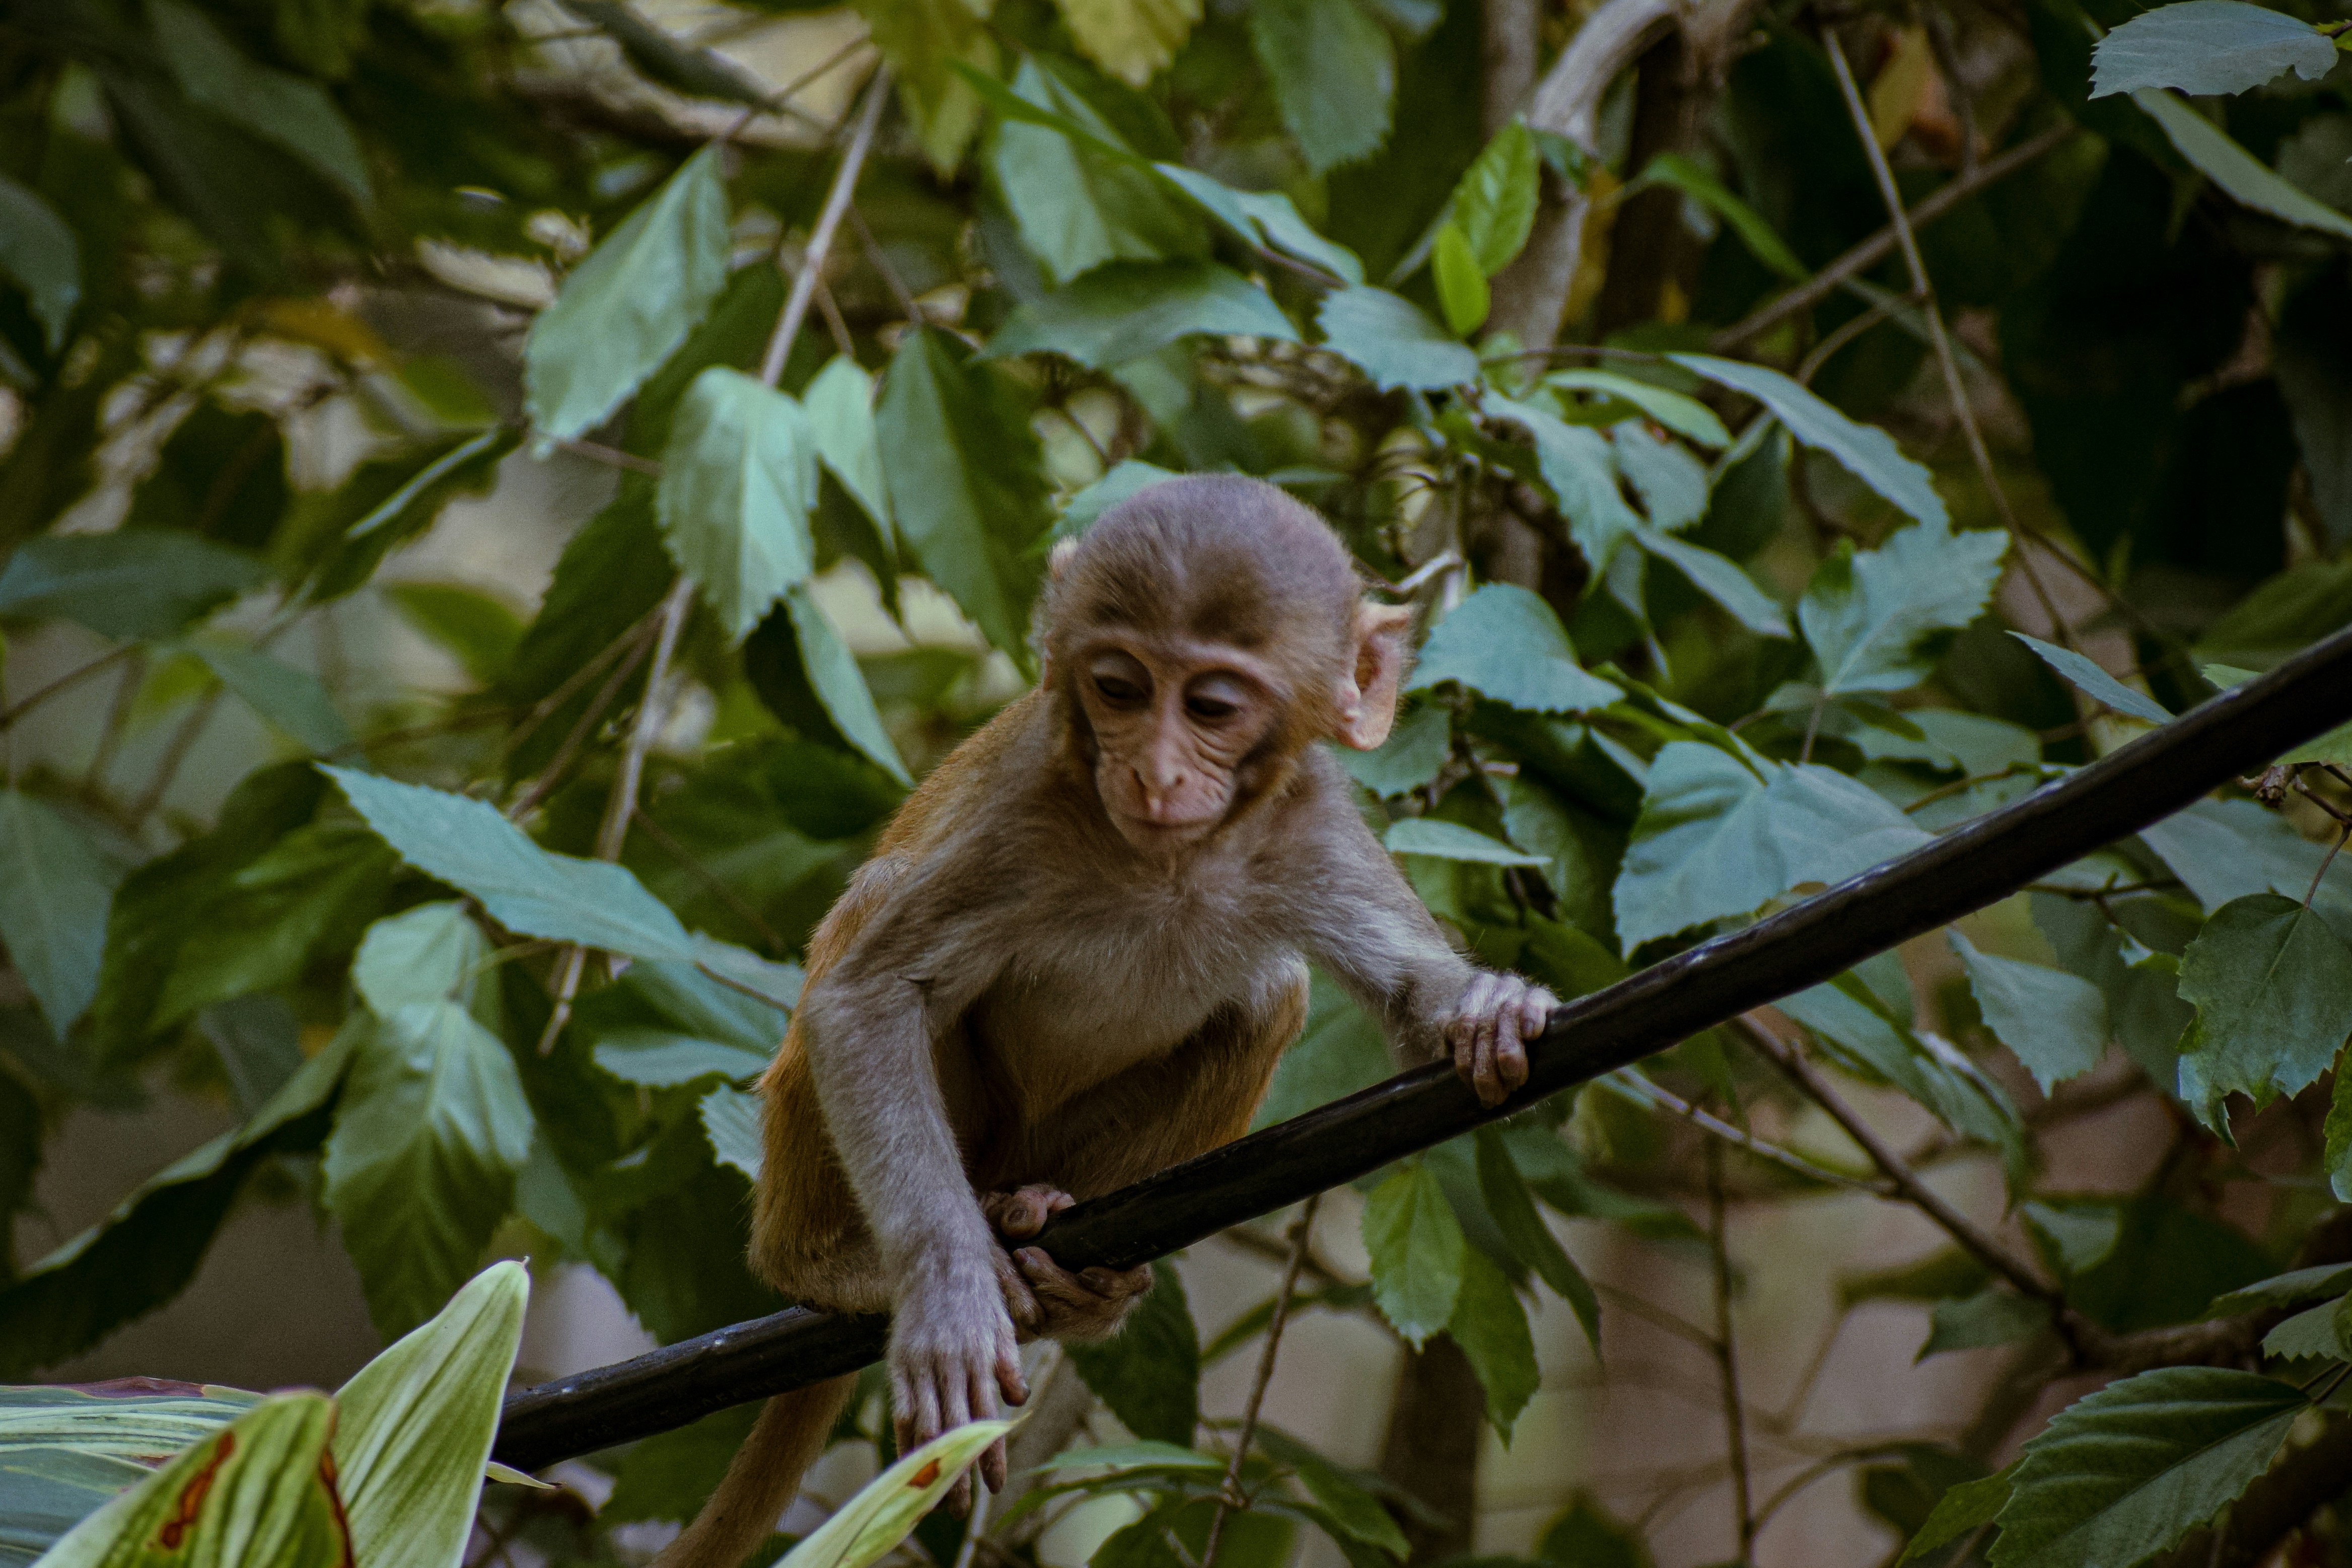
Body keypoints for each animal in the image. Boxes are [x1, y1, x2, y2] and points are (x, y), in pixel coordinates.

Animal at [657, 474, 1559, 1568]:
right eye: (1119, 688)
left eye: (1212, 706)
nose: (1155, 772)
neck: (1162, 858)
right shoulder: (1022, 812)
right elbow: (868, 999)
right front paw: (946, 1290)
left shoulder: (1310, 819)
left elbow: (1411, 1006)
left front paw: (1486, 1011)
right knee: (877, 902)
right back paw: (836, 1261)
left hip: (1050, 1142)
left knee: (1270, 991)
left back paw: (1062, 1257)